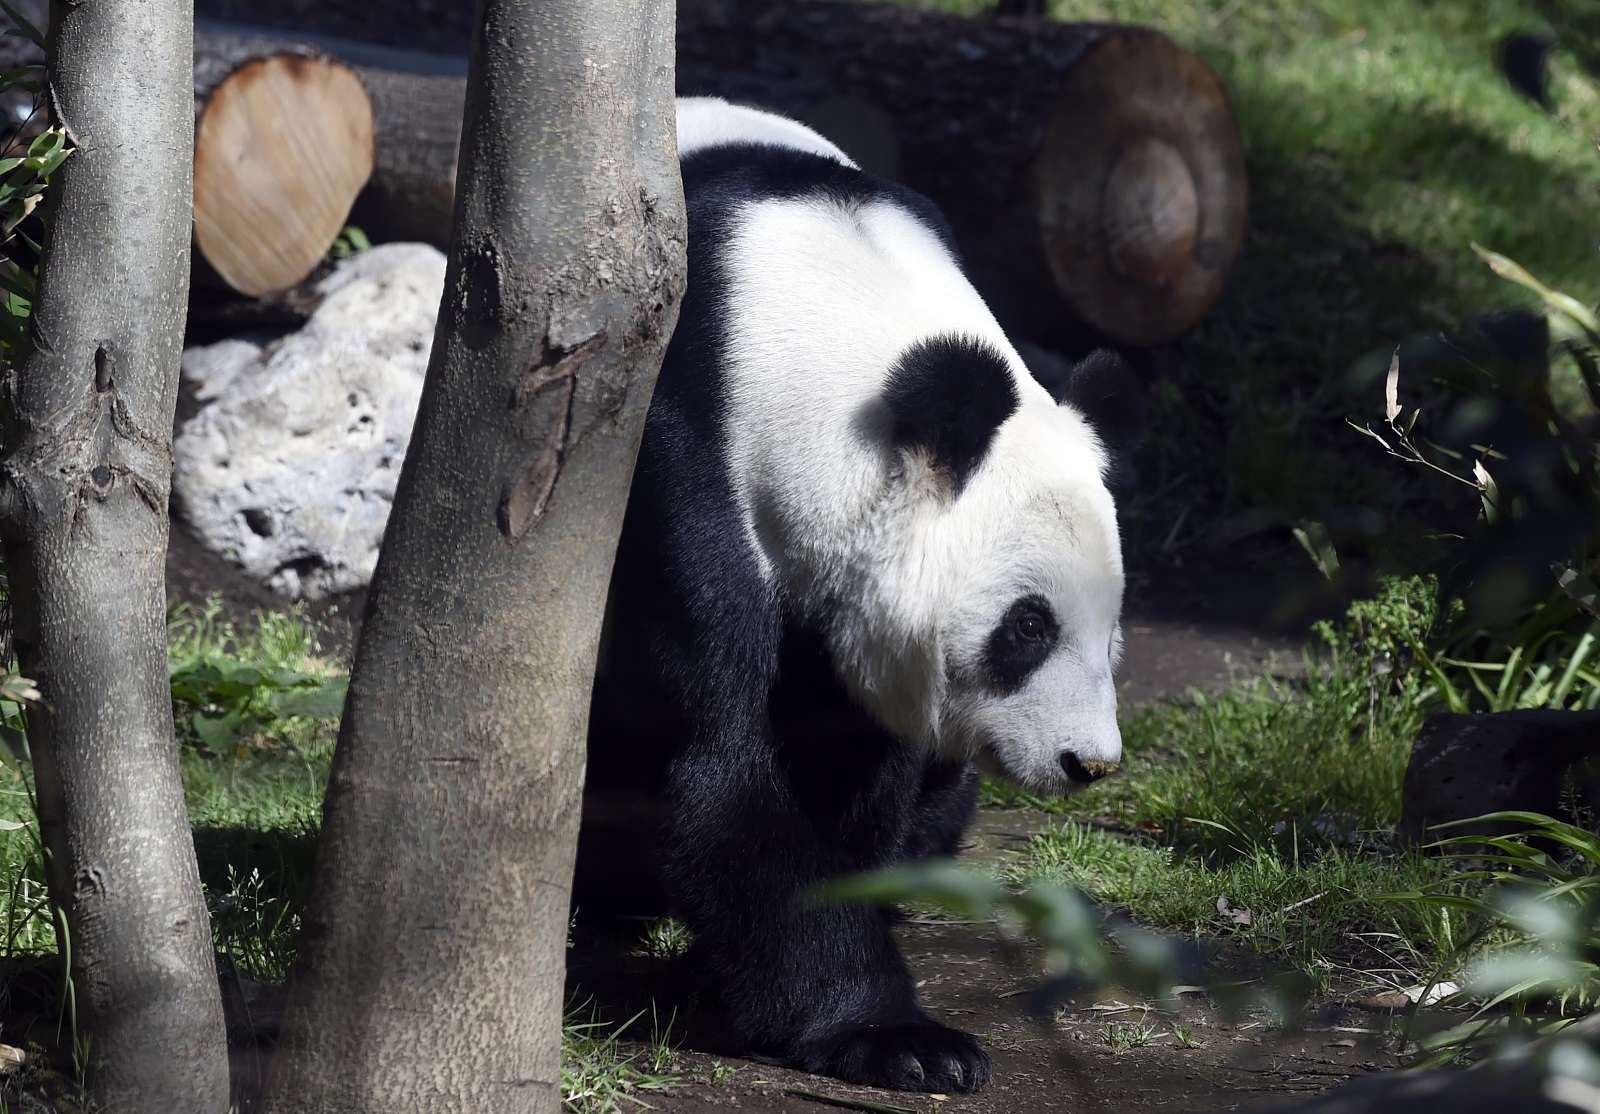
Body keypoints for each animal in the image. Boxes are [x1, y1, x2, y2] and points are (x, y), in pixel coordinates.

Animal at [585, 96, 1136, 1094]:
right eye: (1027, 627)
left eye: (1109, 633)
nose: (1089, 764)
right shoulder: (678, 450)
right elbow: (720, 757)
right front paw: (902, 1039)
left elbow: (863, 762)